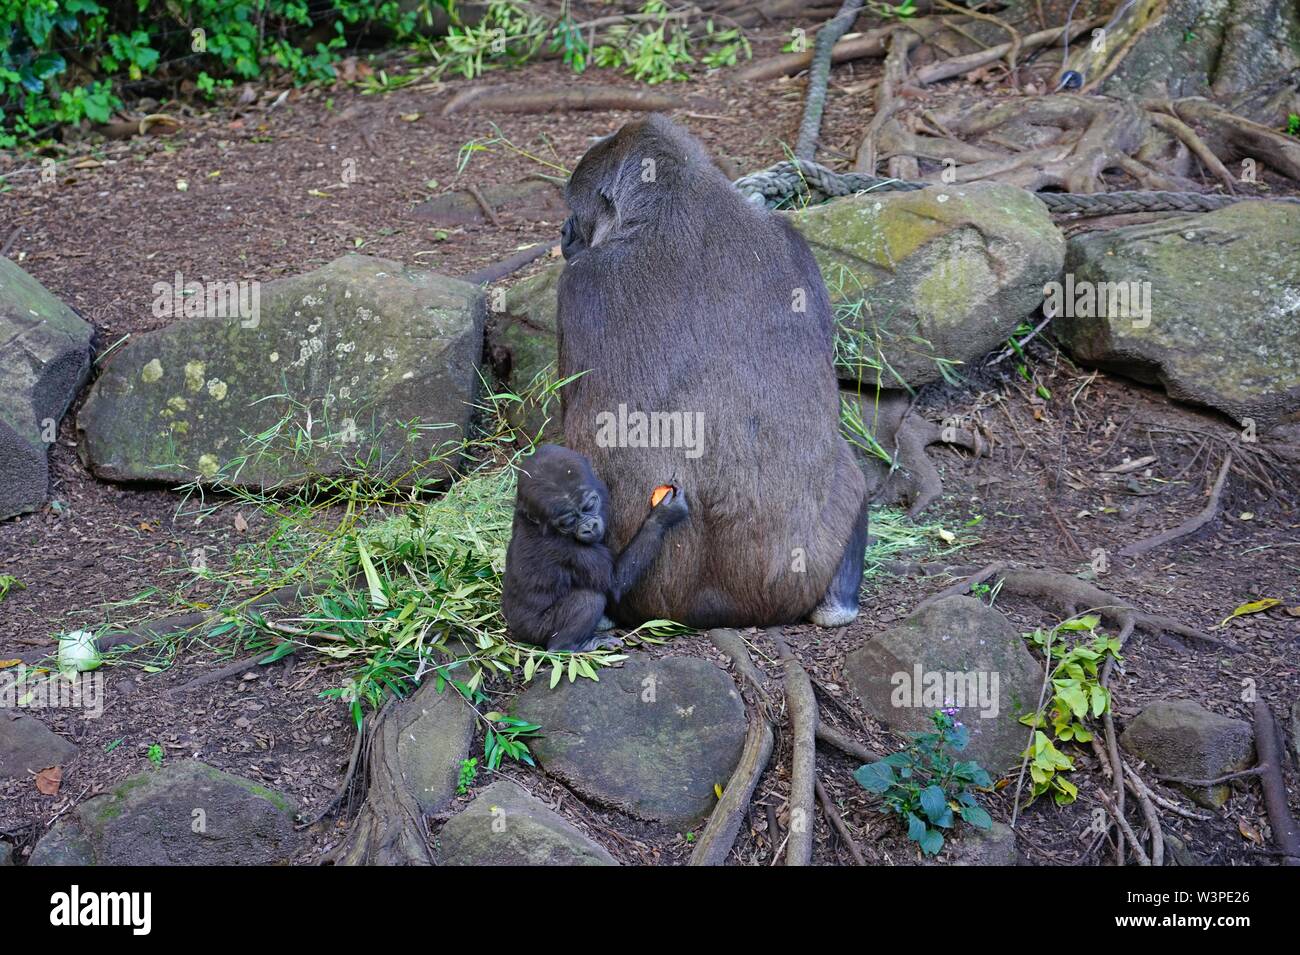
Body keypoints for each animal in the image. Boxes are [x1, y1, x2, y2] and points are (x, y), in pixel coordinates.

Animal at [502, 444, 689, 652]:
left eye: (589, 505)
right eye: (568, 522)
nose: (589, 527)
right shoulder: (571, 551)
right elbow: (614, 584)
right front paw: (664, 516)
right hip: (536, 631)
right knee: (588, 599)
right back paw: (570, 646)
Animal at [556, 114, 868, 631]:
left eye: (573, 212)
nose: (564, 232)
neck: (673, 206)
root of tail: (721, 612)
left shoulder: (580, 281)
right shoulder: (793, 241)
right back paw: (838, 606)